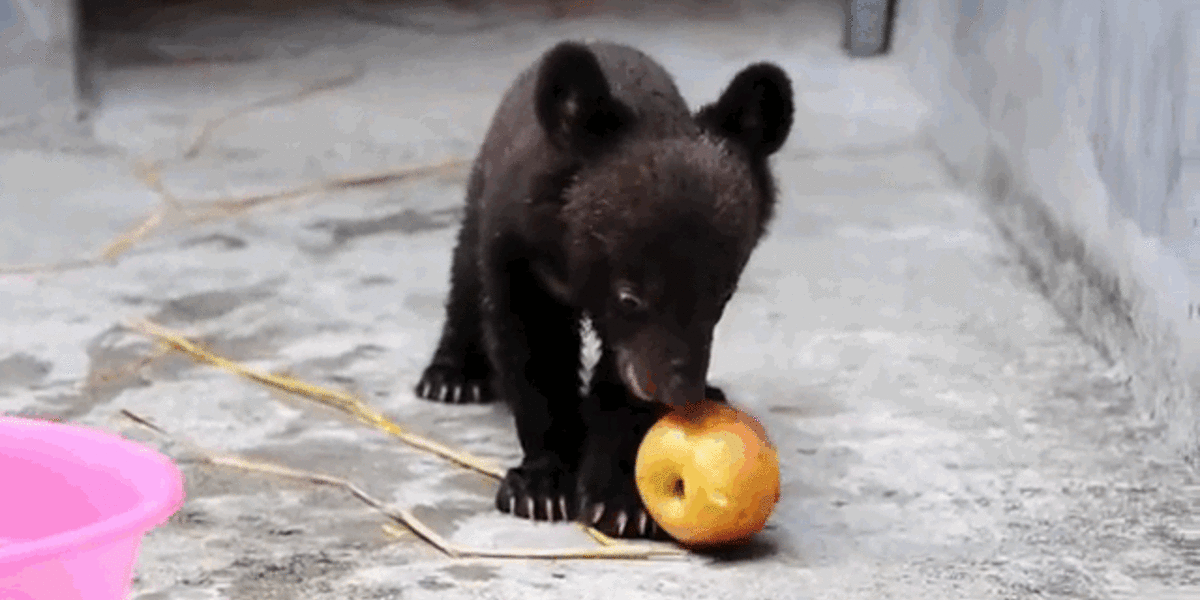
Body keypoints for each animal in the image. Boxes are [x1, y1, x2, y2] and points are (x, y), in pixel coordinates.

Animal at [414, 40, 793, 539]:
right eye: (630, 297)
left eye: (722, 296)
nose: (680, 394)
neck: (574, 259)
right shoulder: (519, 250)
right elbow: (534, 350)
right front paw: (541, 486)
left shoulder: (634, 343)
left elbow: (621, 377)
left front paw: (619, 502)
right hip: (480, 197)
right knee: (466, 276)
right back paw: (450, 377)